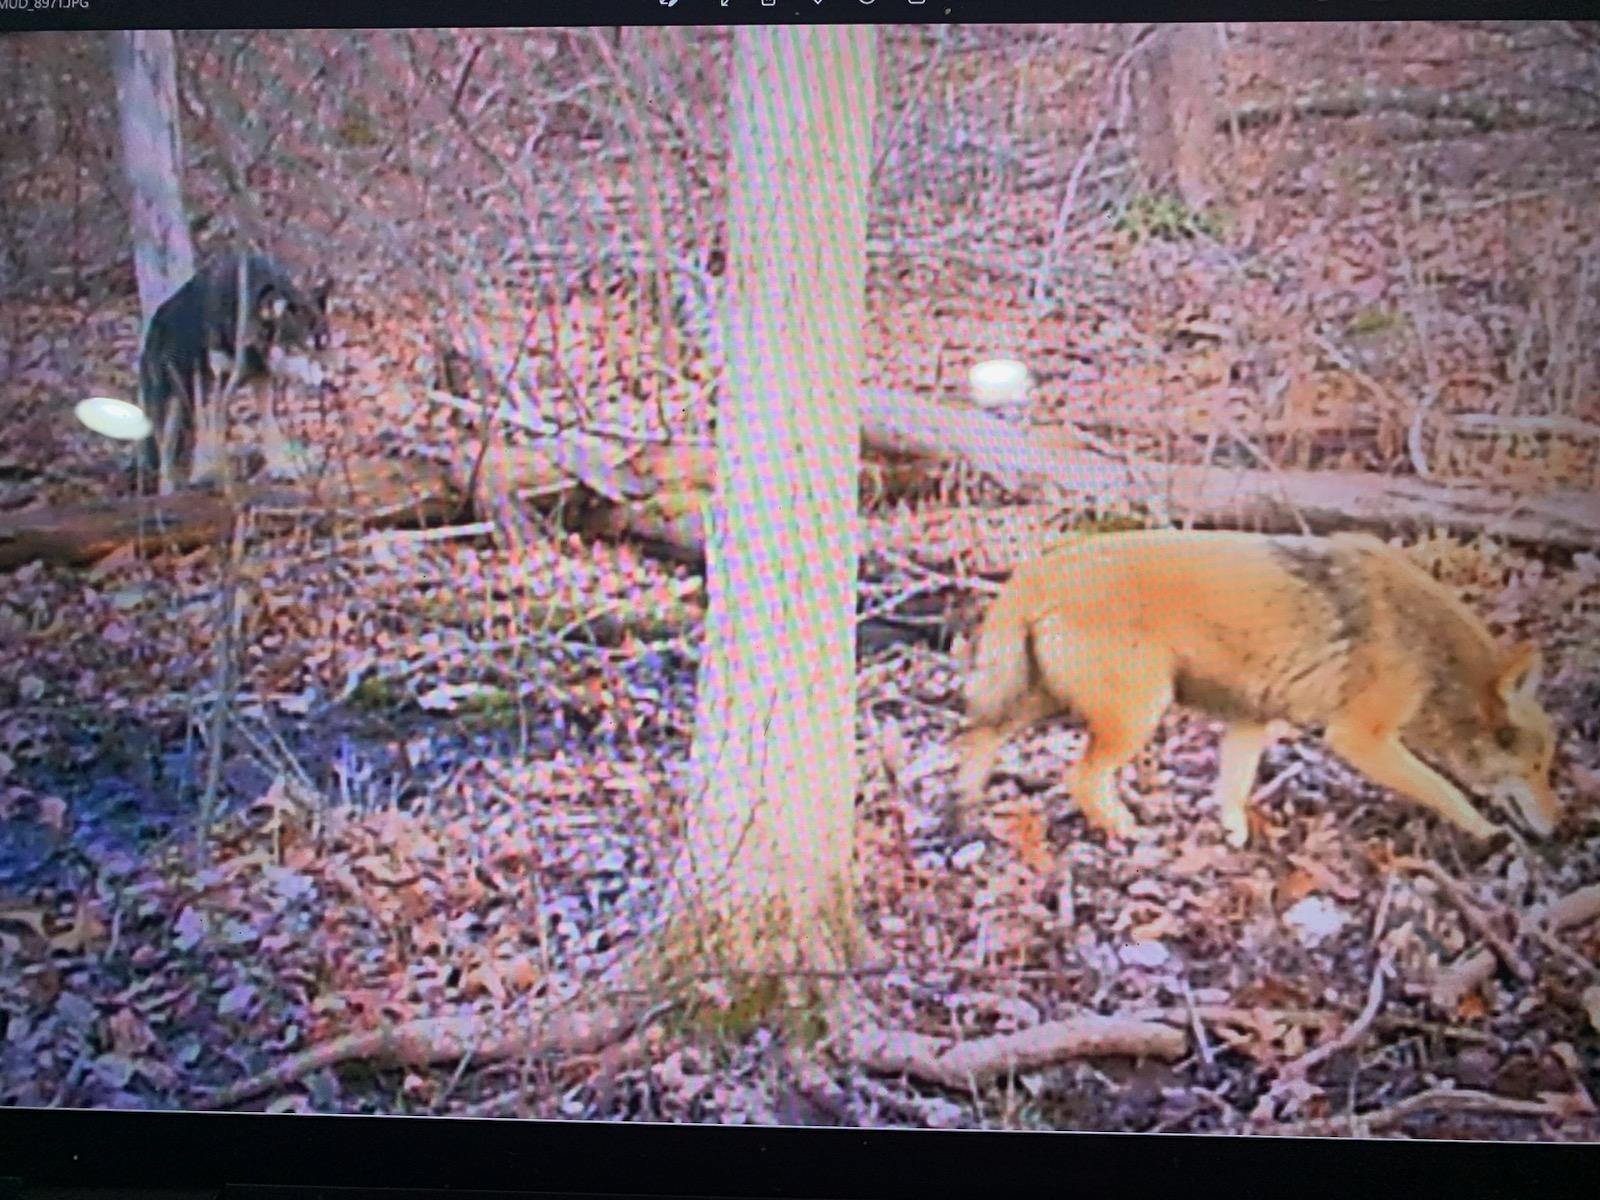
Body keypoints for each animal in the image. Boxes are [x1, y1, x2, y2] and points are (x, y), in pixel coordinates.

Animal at [137, 253, 331, 492]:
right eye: (300, 347)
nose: (327, 383)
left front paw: (283, 469)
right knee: (166, 455)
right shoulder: (211, 380)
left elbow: (269, 424)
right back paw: (169, 491)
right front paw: (206, 475)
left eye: (323, 344)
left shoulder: (261, 378)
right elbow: (208, 430)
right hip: (170, 406)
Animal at [952, 529, 1562, 848]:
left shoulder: (1251, 719)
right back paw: (1126, 831)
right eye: (1537, 769)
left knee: (978, 737)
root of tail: (1040, 568)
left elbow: (1233, 789)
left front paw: (1234, 836)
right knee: (1079, 778)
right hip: (1138, 714)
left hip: (1039, 700)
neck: (1427, 651)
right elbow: (1444, 789)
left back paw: (965, 811)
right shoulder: (1359, 739)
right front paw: (1484, 830)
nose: (1560, 826)